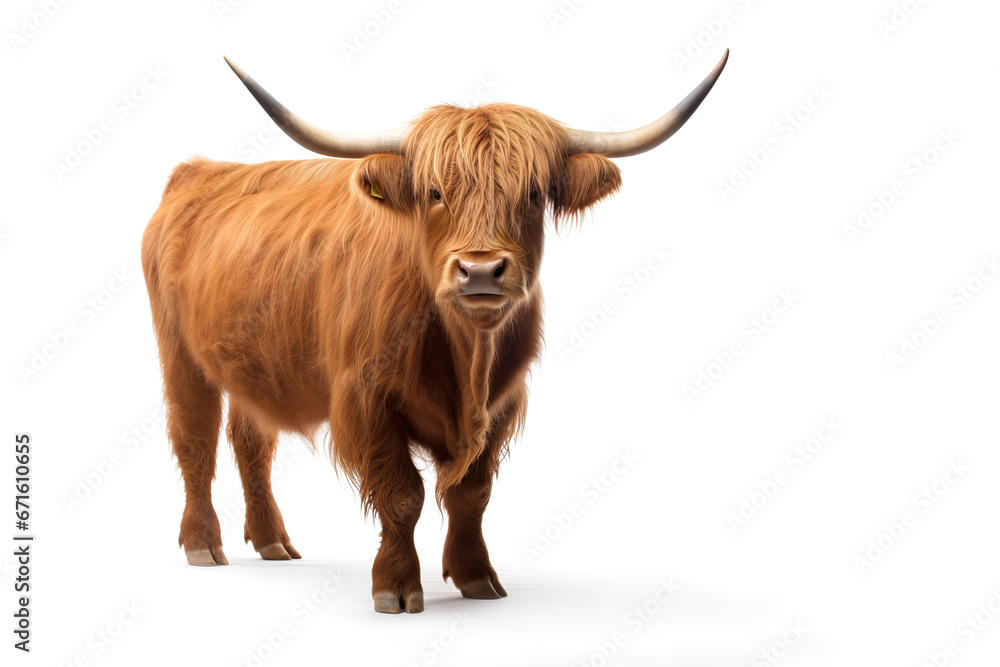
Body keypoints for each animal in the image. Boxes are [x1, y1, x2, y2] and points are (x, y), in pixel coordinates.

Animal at [141, 50, 728, 613]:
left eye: (535, 193)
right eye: (434, 192)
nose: (481, 270)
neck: (468, 358)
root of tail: (199, 171)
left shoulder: (503, 404)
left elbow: (473, 493)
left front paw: (476, 577)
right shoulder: (367, 399)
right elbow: (403, 495)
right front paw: (396, 587)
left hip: (252, 362)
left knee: (251, 441)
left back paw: (272, 541)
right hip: (179, 354)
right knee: (195, 439)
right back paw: (203, 544)